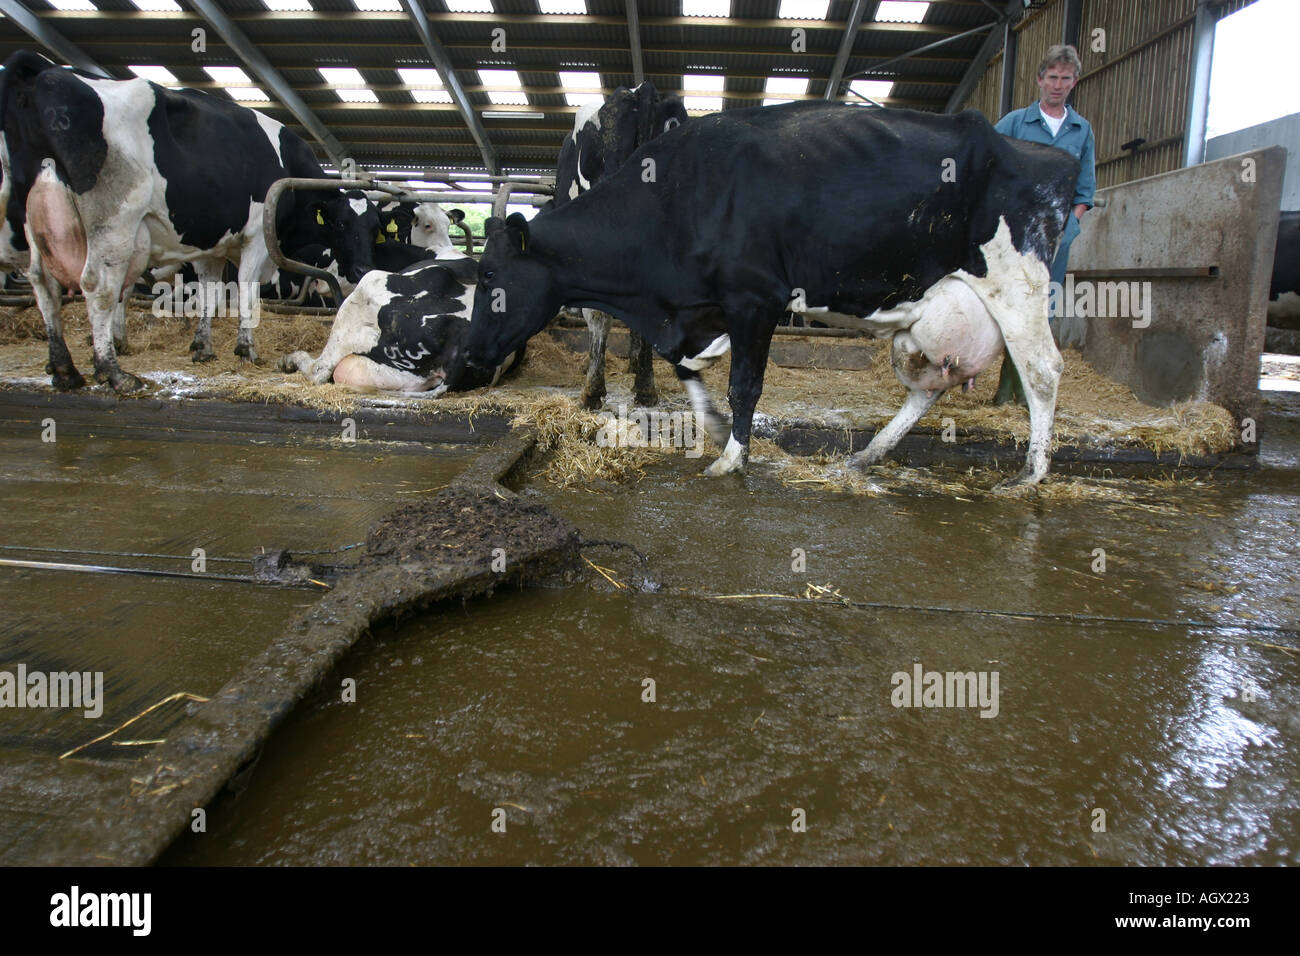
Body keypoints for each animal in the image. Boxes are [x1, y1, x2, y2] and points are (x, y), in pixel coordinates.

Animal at [0, 49, 361, 391]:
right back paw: (112, 371)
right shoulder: (257, 236)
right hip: (114, 220)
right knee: (99, 286)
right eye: (341, 224)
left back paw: (65, 369)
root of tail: (42, 68)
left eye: (370, 227)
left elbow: (210, 294)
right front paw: (247, 349)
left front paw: (203, 348)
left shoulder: (214, 248)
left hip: (39, 221)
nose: (361, 270)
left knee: (45, 285)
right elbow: (245, 290)